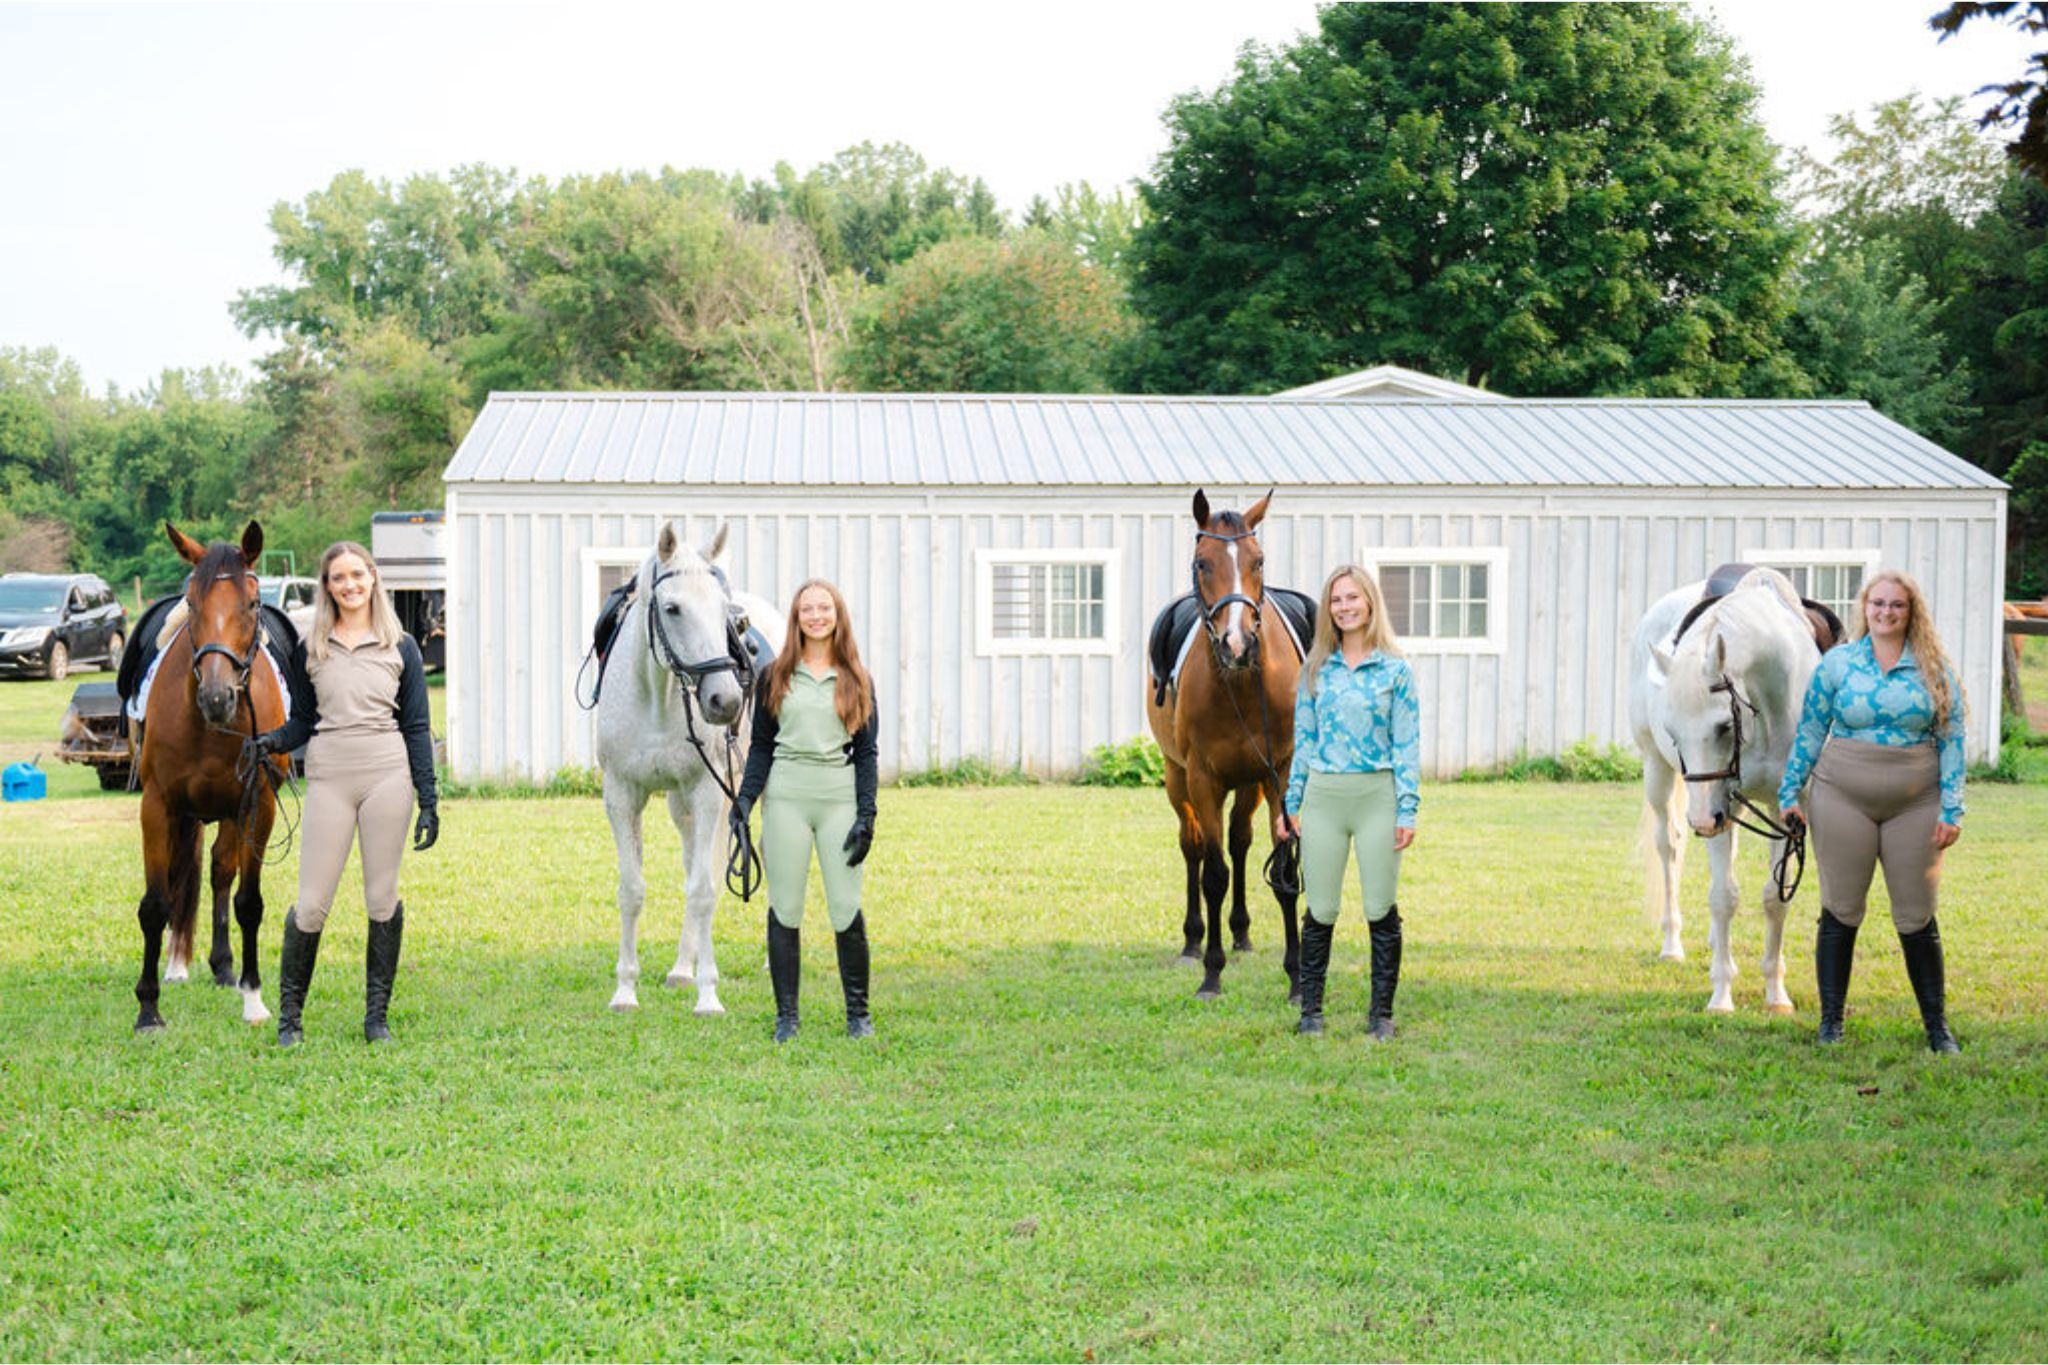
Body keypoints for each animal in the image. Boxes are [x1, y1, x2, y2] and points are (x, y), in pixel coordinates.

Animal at [130, 521, 289, 1033]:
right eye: (192, 603)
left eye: (253, 604)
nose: (217, 697)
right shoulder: (157, 806)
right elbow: (155, 904)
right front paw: (148, 1008)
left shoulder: (257, 805)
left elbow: (248, 901)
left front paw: (254, 998)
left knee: (222, 871)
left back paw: (225, 968)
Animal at [595, 520, 781, 1015]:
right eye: (672, 608)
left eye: (723, 612)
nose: (725, 701)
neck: (657, 699)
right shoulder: (622, 794)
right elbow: (632, 890)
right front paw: (625, 990)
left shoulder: (706, 791)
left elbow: (701, 892)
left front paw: (709, 996)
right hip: (684, 807)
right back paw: (682, 968)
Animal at [1145, 489, 1304, 1001]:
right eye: (1202, 563)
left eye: (1259, 560)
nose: (1238, 644)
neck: (1240, 683)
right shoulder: (1202, 779)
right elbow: (1213, 874)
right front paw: (1212, 974)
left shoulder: (1280, 775)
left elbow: (1284, 873)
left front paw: (1297, 979)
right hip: (1178, 780)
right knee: (1194, 849)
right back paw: (1194, 943)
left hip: (1251, 784)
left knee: (1240, 842)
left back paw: (1241, 934)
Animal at [1629, 567, 1826, 1015]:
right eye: (1673, 732)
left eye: (1723, 726)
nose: (1703, 821)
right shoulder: (1719, 806)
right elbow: (1723, 896)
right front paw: (1721, 994)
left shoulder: (1785, 809)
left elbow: (1775, 898)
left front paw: (1776, 993)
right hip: (1660, 774)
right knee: (1669, 847)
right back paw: (1673, 944)